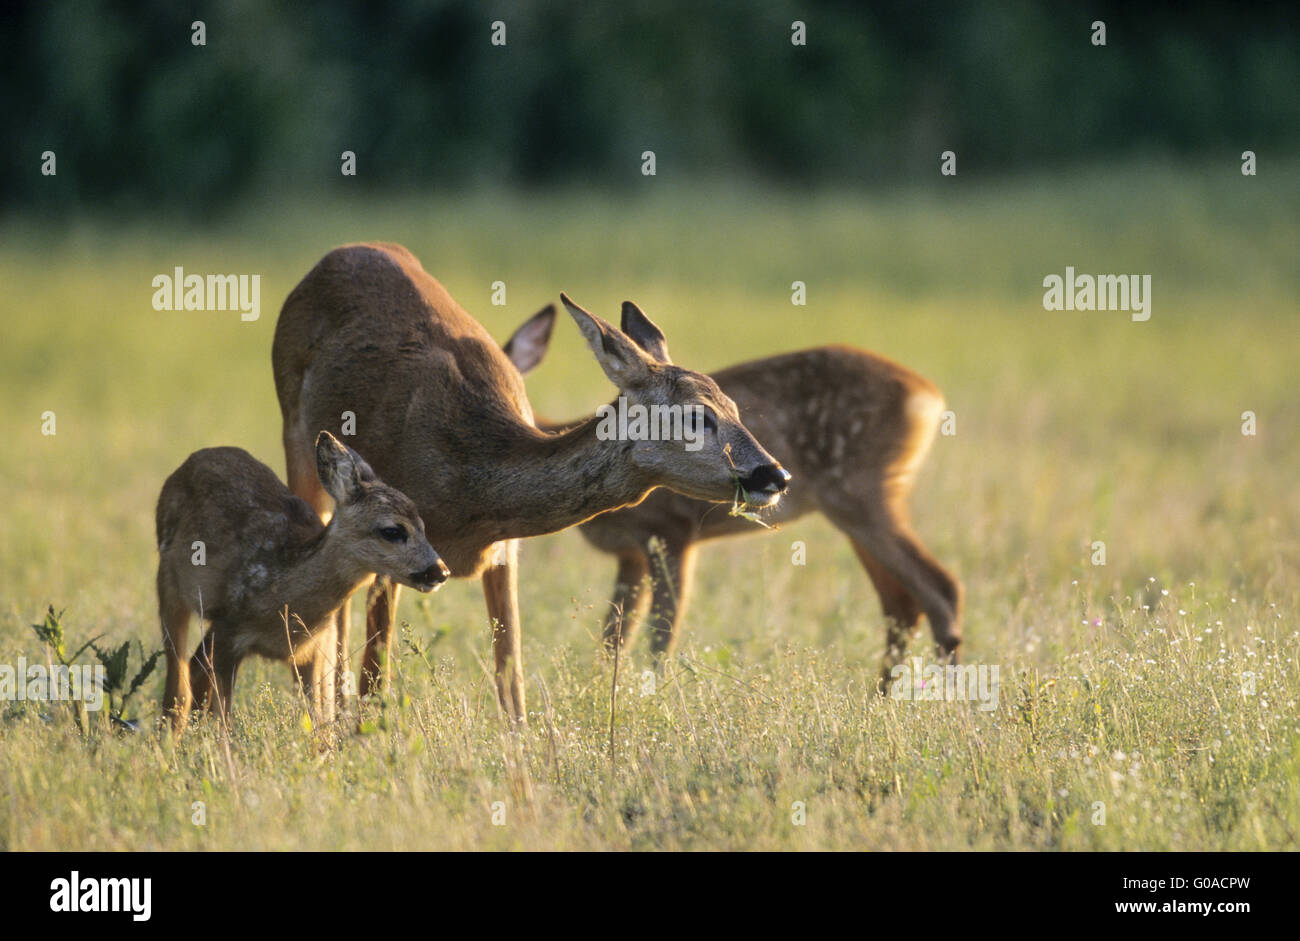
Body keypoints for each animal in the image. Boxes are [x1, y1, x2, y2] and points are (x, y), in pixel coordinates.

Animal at [155, 431, 447, 733]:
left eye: (424, 526)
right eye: (392, 531)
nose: (440, 571)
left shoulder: (313, 649)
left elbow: (316, 721)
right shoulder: (228, 632)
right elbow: (224, 723)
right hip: (168, 582)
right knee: (178, 680)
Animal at [270, 243, 789, 723]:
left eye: (735, 408)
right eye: (697, 416)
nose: (775, 475)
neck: (468, 489)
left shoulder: (507, 553)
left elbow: (512, 682)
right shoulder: (387, 540)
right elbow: (376, 679)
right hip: (296, 437)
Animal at [502, 306, 963, 687]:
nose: (776, 474)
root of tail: (929, 395)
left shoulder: (670, 530)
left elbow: (660, 638)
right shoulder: (629, 554)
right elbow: (613, 640)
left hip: (863, 493)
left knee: (941, 587)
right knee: (902, 602)